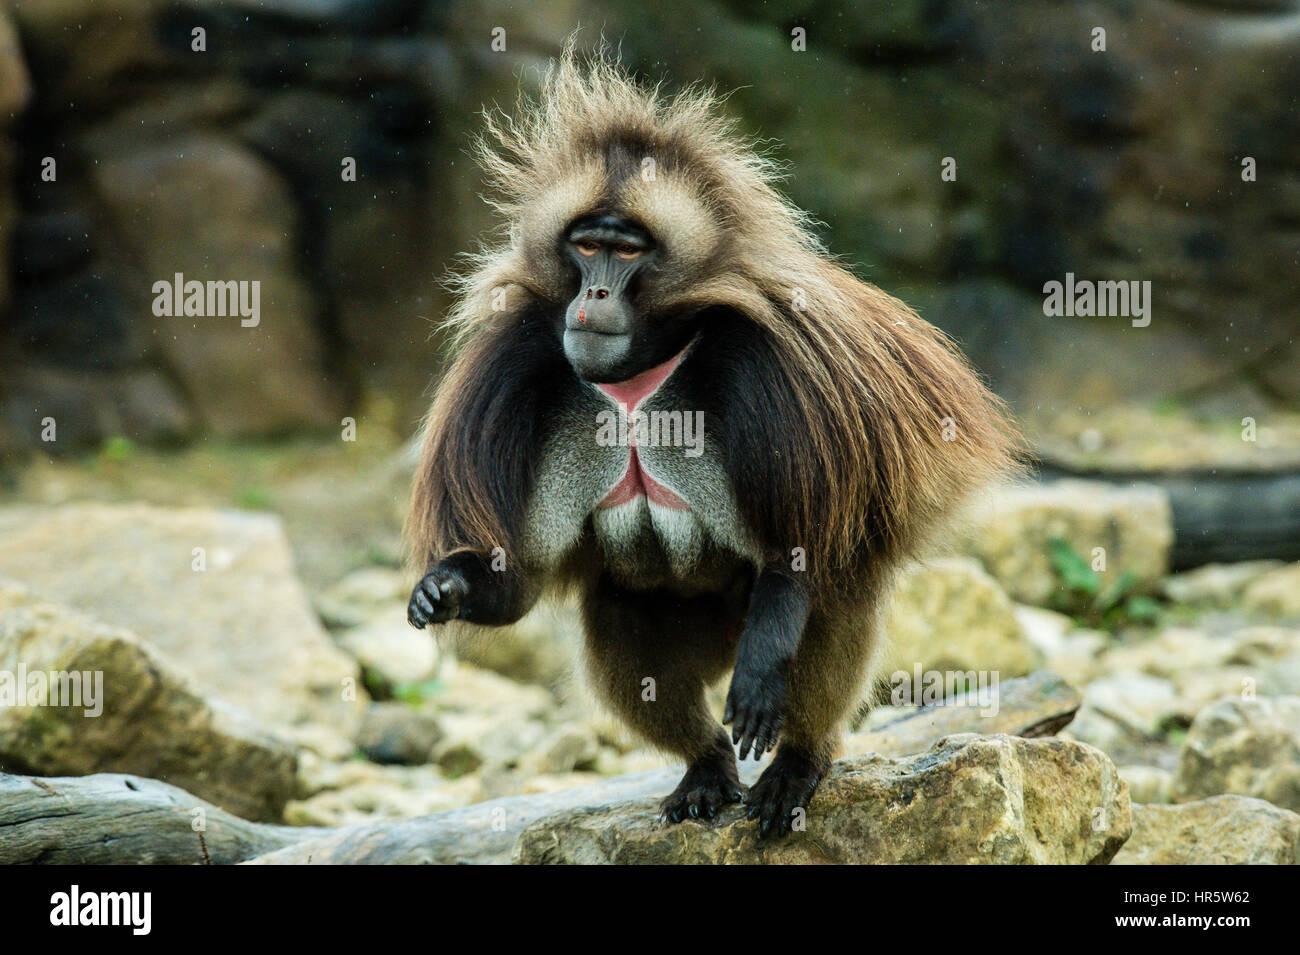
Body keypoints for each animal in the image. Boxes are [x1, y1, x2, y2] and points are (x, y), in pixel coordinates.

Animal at [405, 44, 1021, 838]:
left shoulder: (782, 366)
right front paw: (447, 589)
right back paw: (705, 769)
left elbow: (802, 544)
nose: (594, 296)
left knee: (835, 592)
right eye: (586, 245)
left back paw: (796, 763)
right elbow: (522, 580)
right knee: (620, 628)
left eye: (627, 252)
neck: (639, 376)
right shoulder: (515, 368)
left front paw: (770, 670)